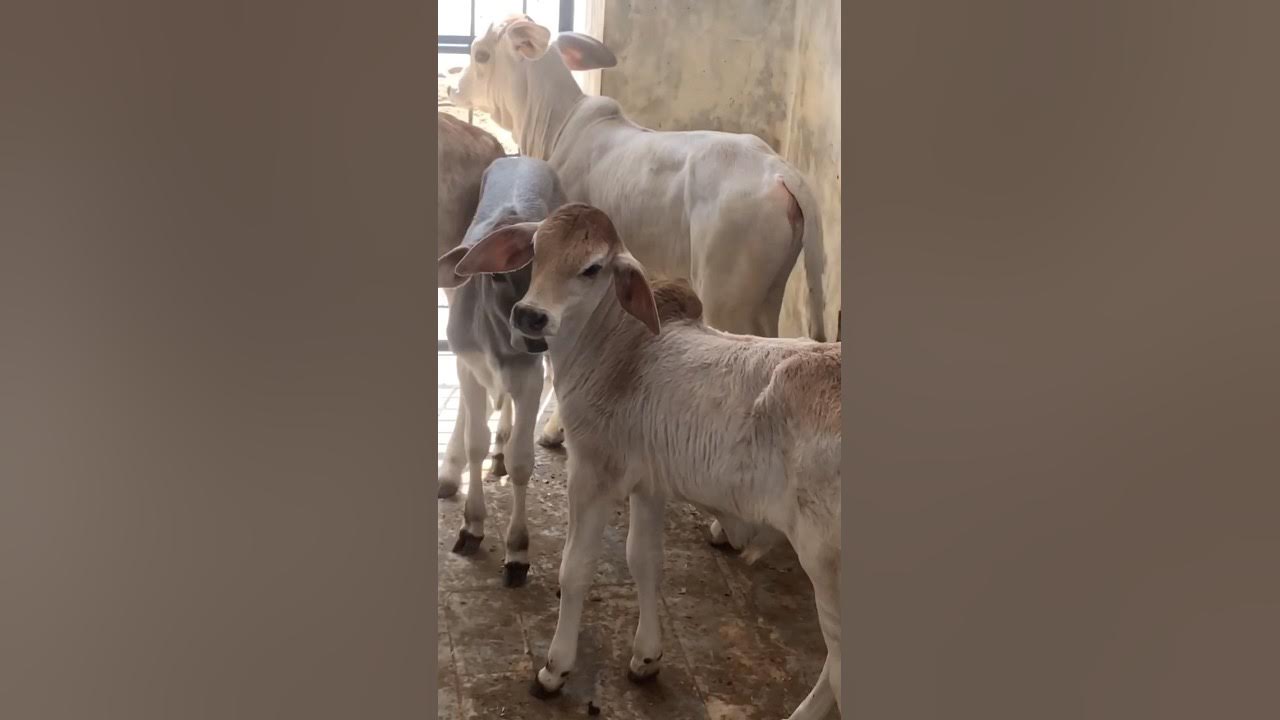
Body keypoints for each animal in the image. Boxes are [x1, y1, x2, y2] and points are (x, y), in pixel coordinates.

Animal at [436, 156, 567, 588]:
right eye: (495, 274)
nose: (533, 328)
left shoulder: (530, 374)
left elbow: (523, 460)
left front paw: (517, 550)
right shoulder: (467, 366)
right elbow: (475, 441)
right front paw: (472, 526)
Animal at [450, 203, 842, 719]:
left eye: (593, 268)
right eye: (535, 251)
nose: (530, 315)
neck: (617, 349)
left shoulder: (591, 473)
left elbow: (576, 569)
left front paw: (555, 669)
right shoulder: (651, 483)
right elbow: (644, 561)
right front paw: (646, 657)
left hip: (827, 567)